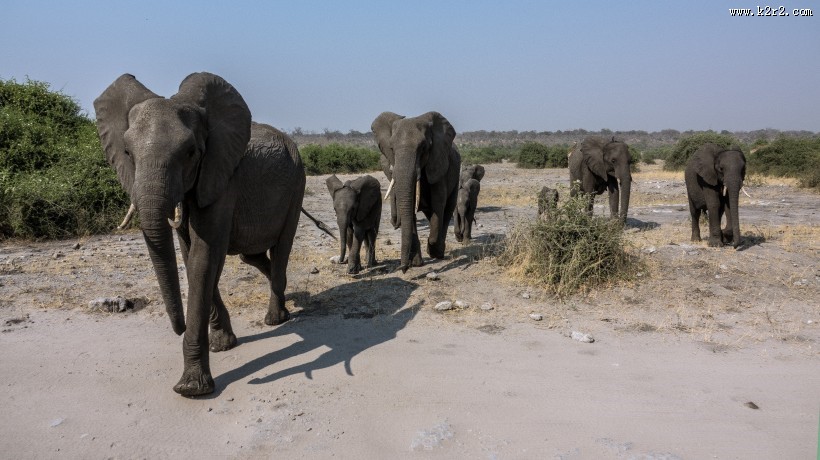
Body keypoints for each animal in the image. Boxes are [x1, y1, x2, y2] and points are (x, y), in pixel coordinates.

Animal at [94, 73, 313, 396]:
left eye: (190, 153)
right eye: (127, 153)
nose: (179, 327)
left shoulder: (221, 178)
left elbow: (203, 256)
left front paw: (191, 389)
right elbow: (190, 255)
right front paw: (223, 344)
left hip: (297, 184)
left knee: (282, 247)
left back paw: (275, 319)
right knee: (253, 256)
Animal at [372, 111, 461, 272]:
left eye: (423, 147)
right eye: (391, 148)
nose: (403, 268)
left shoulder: (438, 166)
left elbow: (438, 204)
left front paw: (432, 251)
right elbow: (410, 206)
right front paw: (416, 263)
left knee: (447, 210)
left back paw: (439, 252)